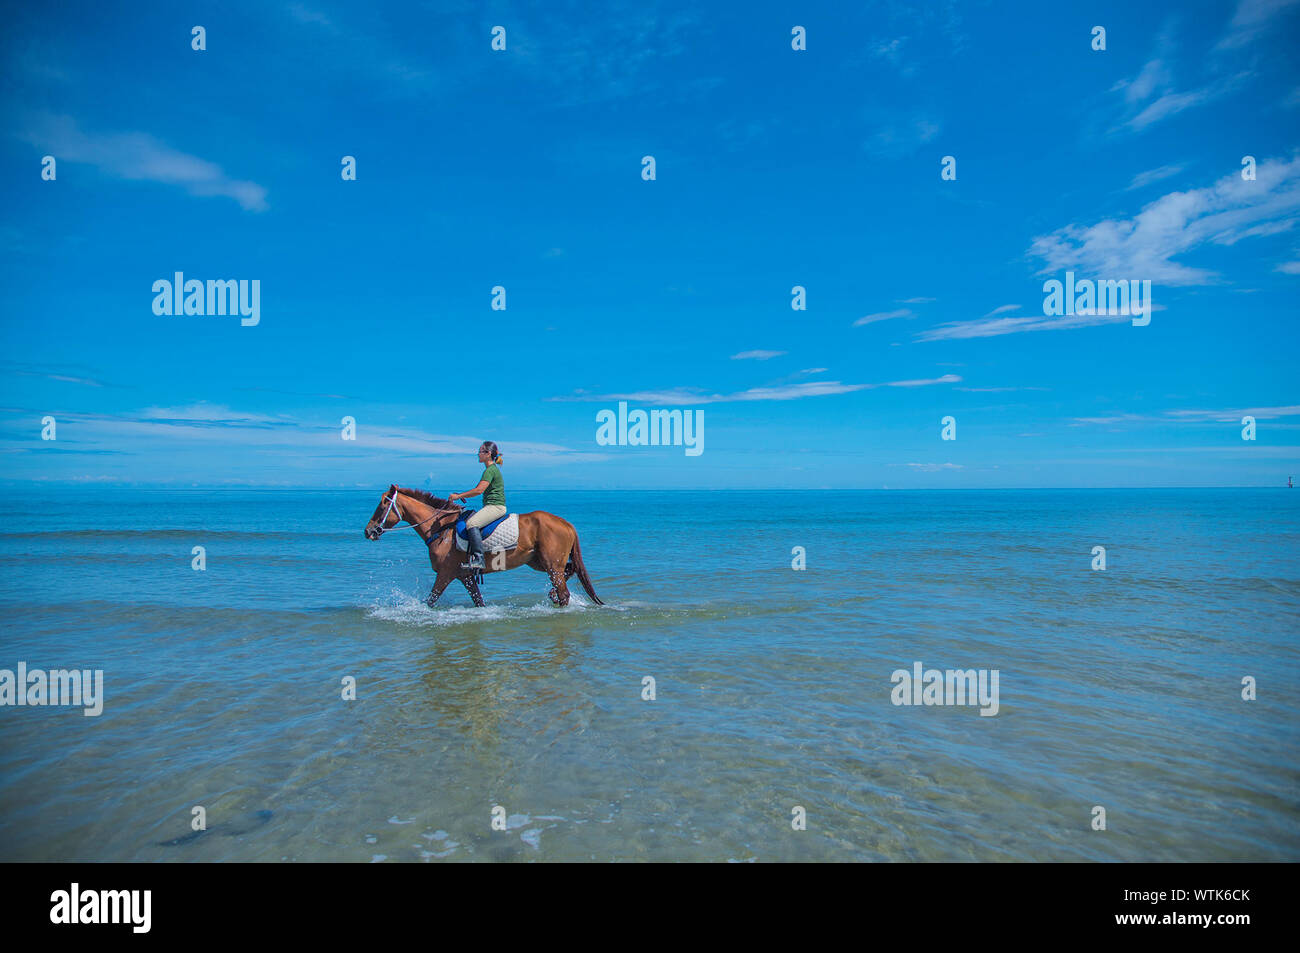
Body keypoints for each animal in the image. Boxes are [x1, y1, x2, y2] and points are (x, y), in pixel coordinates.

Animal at [363, 485, 605, 609]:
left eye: (383, 504)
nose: (369, 531)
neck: (441, 530)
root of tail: (566, 524)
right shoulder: (465, 576)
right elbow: (478, 601)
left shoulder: (445, 573)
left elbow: (431, 600)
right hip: (538, 562)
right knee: (569, 572)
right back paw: (552, 594)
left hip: (551, 564)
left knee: (564, 592)